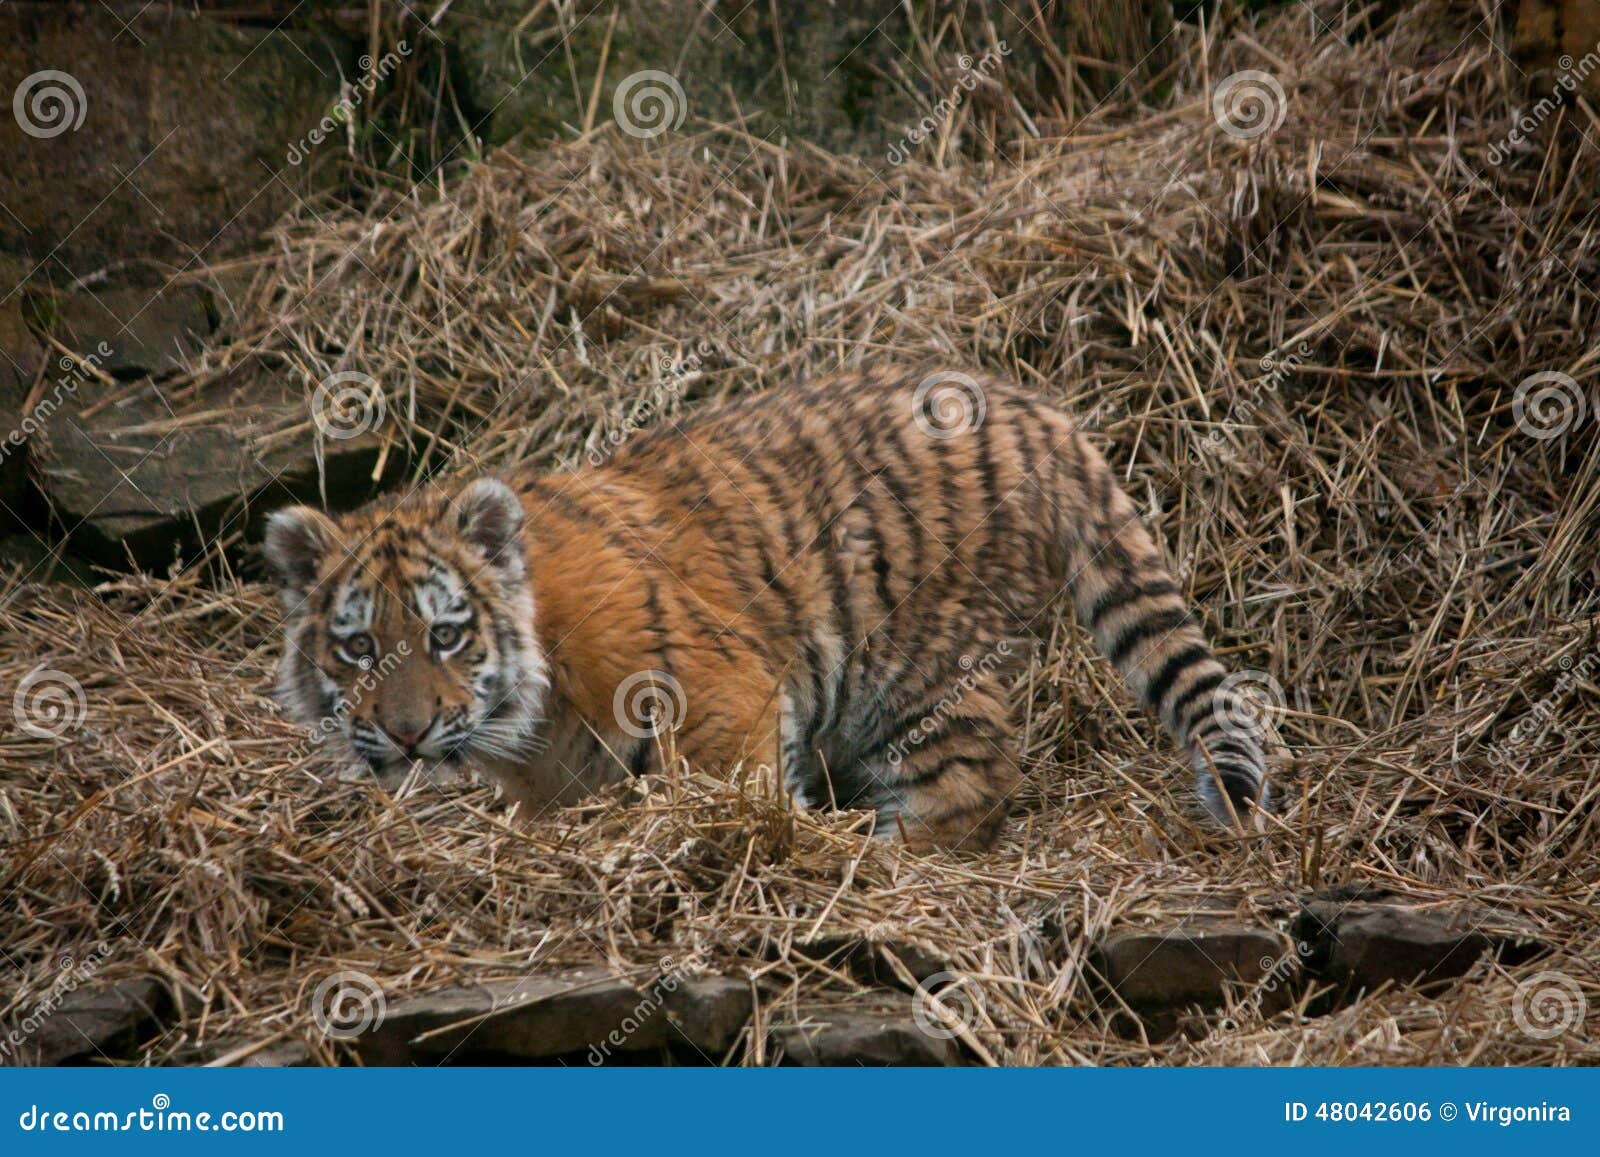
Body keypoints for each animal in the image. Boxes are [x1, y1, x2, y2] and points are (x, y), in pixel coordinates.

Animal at [264, 367, 1271, 850]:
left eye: (446, 634)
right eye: (358, 648)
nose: (403, 734)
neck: (528, 720)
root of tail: (1036, 409)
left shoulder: (720, 696)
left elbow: (739, 786)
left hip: (919, 671)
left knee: (970, 784)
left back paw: (881, 862)